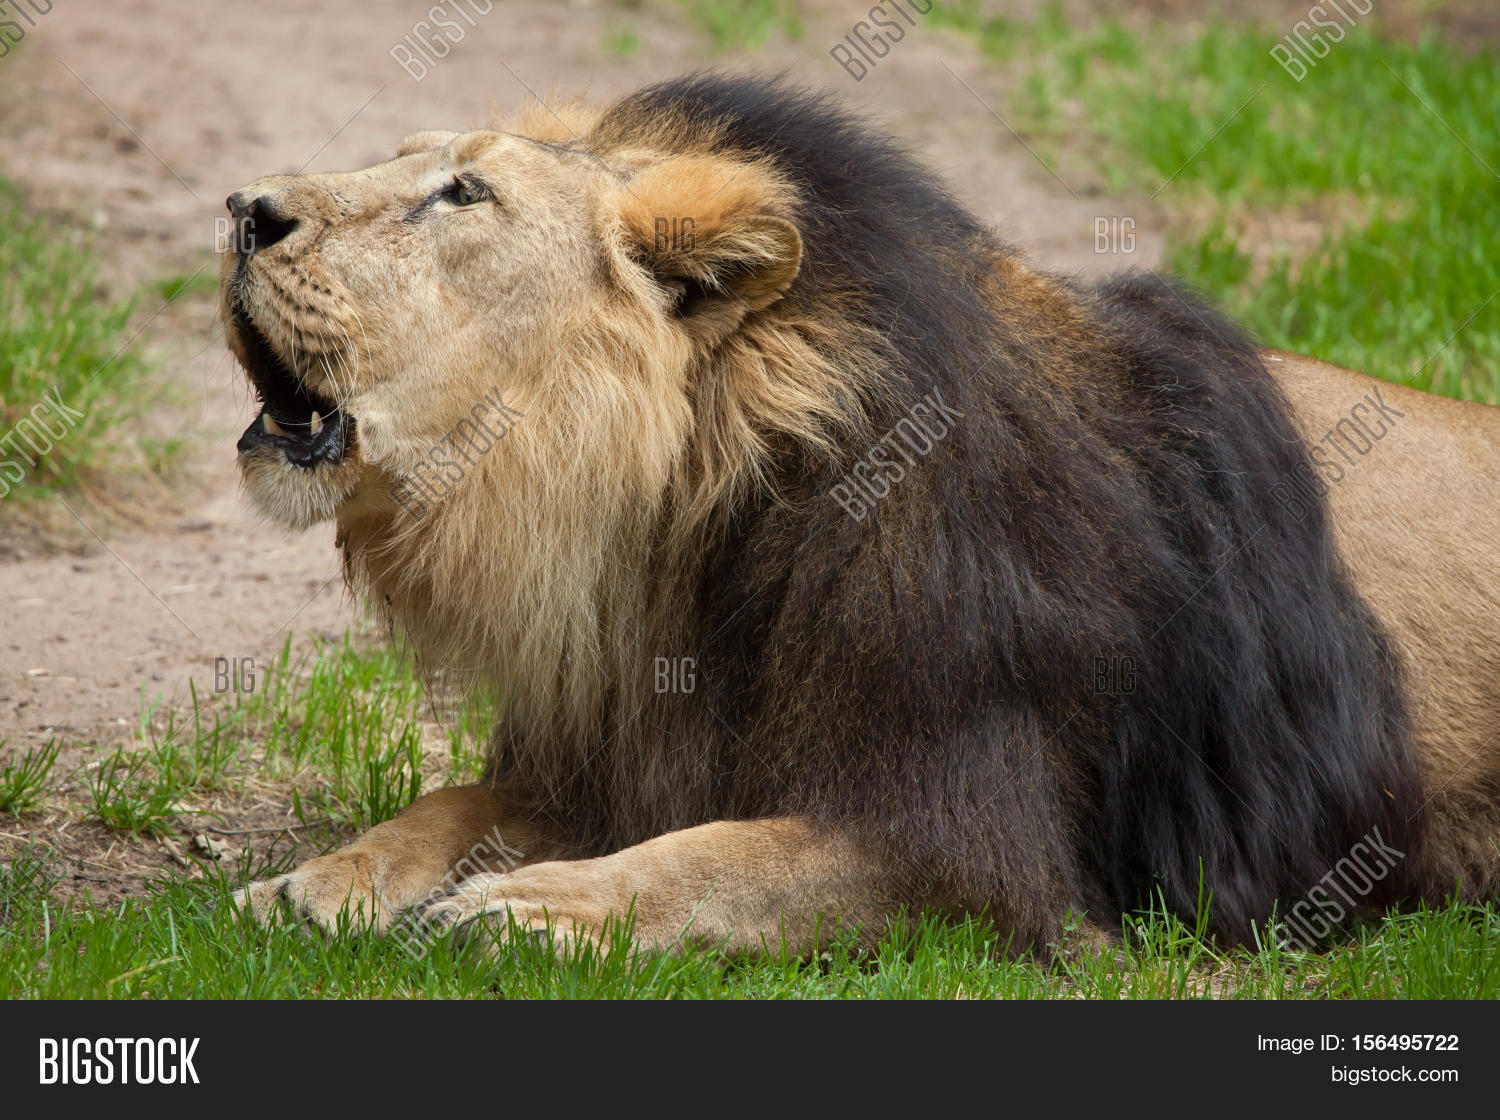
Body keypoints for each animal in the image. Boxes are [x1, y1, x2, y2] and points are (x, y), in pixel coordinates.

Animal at [220, 73, 1500, 956]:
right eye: (405, 163)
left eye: (462, 193)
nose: (242, 207)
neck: (674, 528)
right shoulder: (608, 753)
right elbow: (451, 800)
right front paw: (325, 878)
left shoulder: (967, 847)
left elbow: (715, 864)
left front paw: (533, 908)